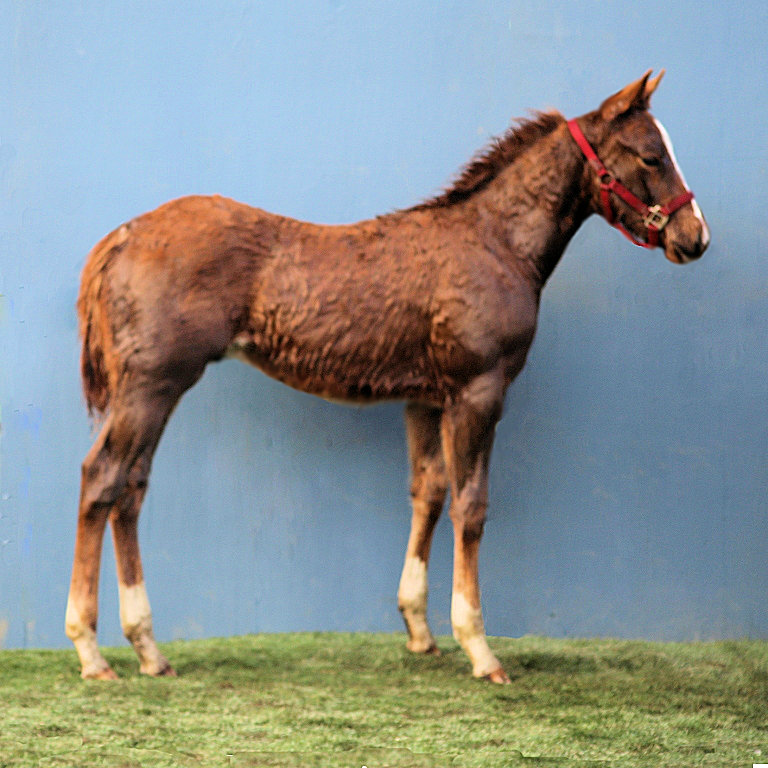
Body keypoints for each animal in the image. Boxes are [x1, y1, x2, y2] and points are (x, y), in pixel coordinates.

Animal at [66, 71, 709, 683]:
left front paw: (420, 631)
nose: (695, 238)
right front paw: (479, 648)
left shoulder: (424, 399)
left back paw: (148, 650)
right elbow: (471, 505)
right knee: (103, 477)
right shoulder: (478, 392)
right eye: (650, 155)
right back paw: (91, 652)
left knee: (132, 487)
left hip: (154, 388)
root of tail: (122, 235)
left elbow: (428, 491)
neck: (495, 242)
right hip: (153, 384)